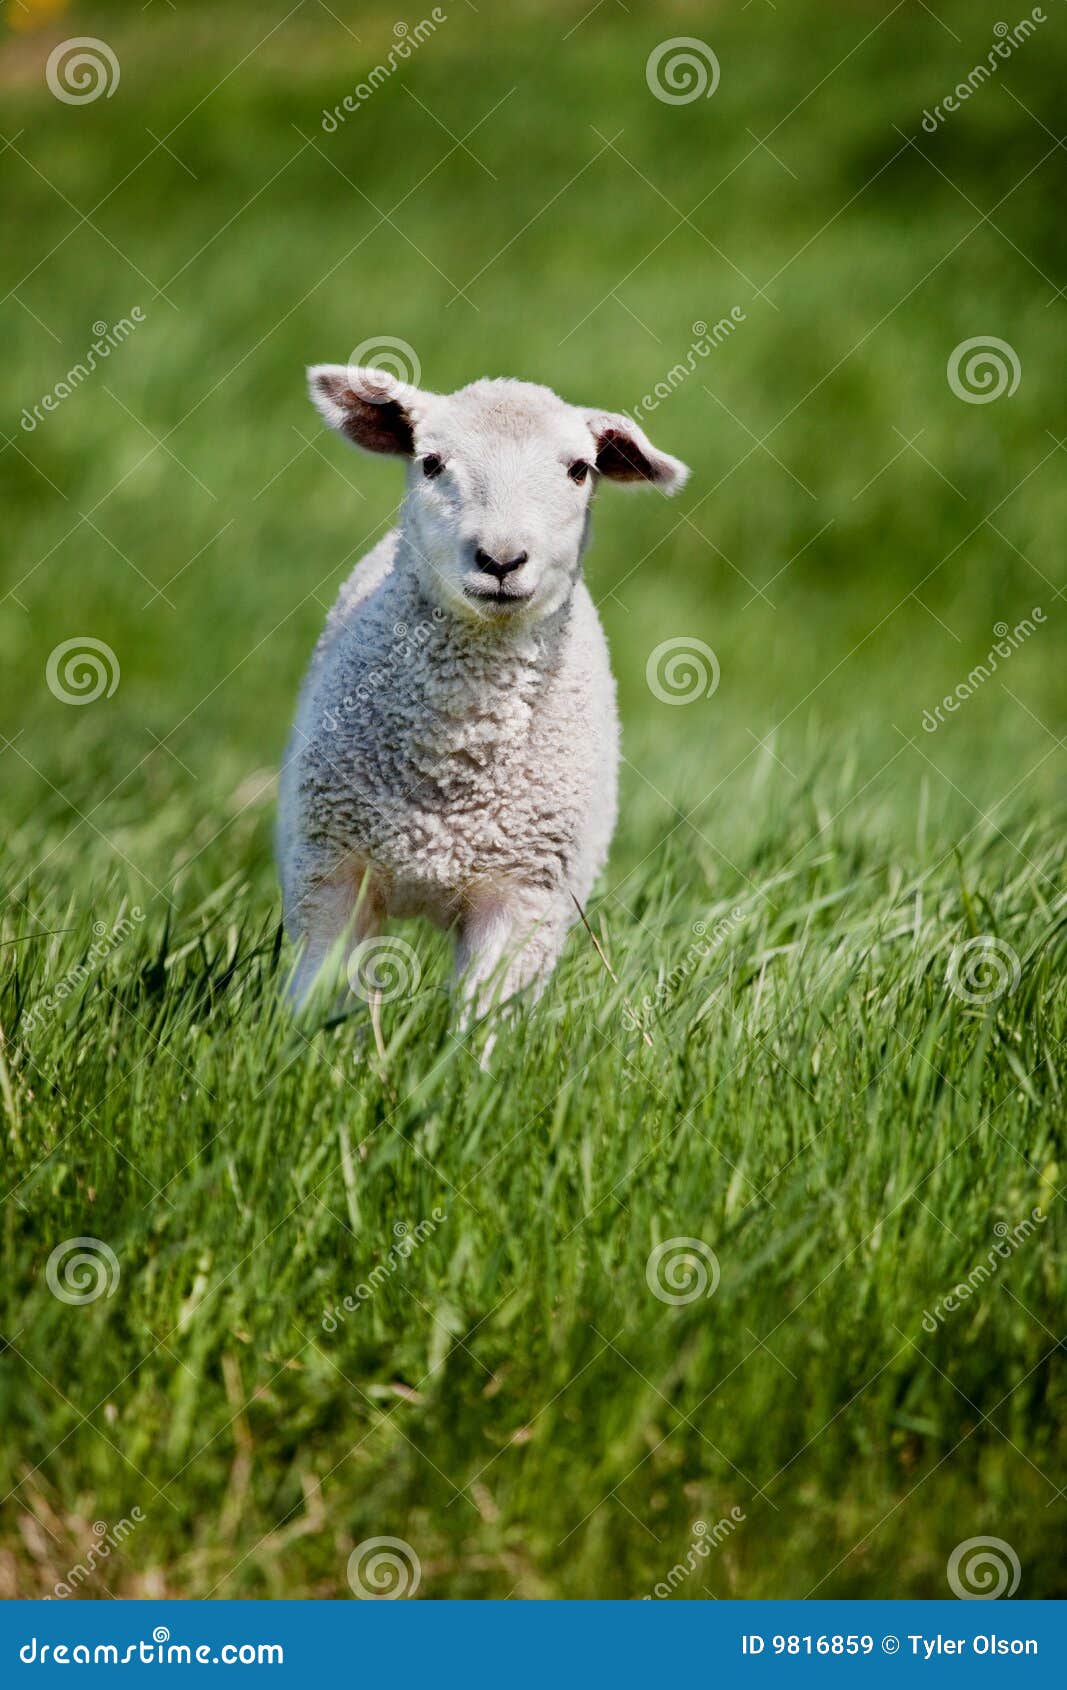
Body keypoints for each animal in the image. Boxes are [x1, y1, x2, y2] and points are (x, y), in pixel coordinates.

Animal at [277, 364, 688, 1024]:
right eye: (430, 462)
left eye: (579, 470)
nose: (500, 559)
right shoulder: (331, 868)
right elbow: (324, 992)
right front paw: (312, 1048)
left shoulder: (525, 895)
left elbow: (482, 1019)